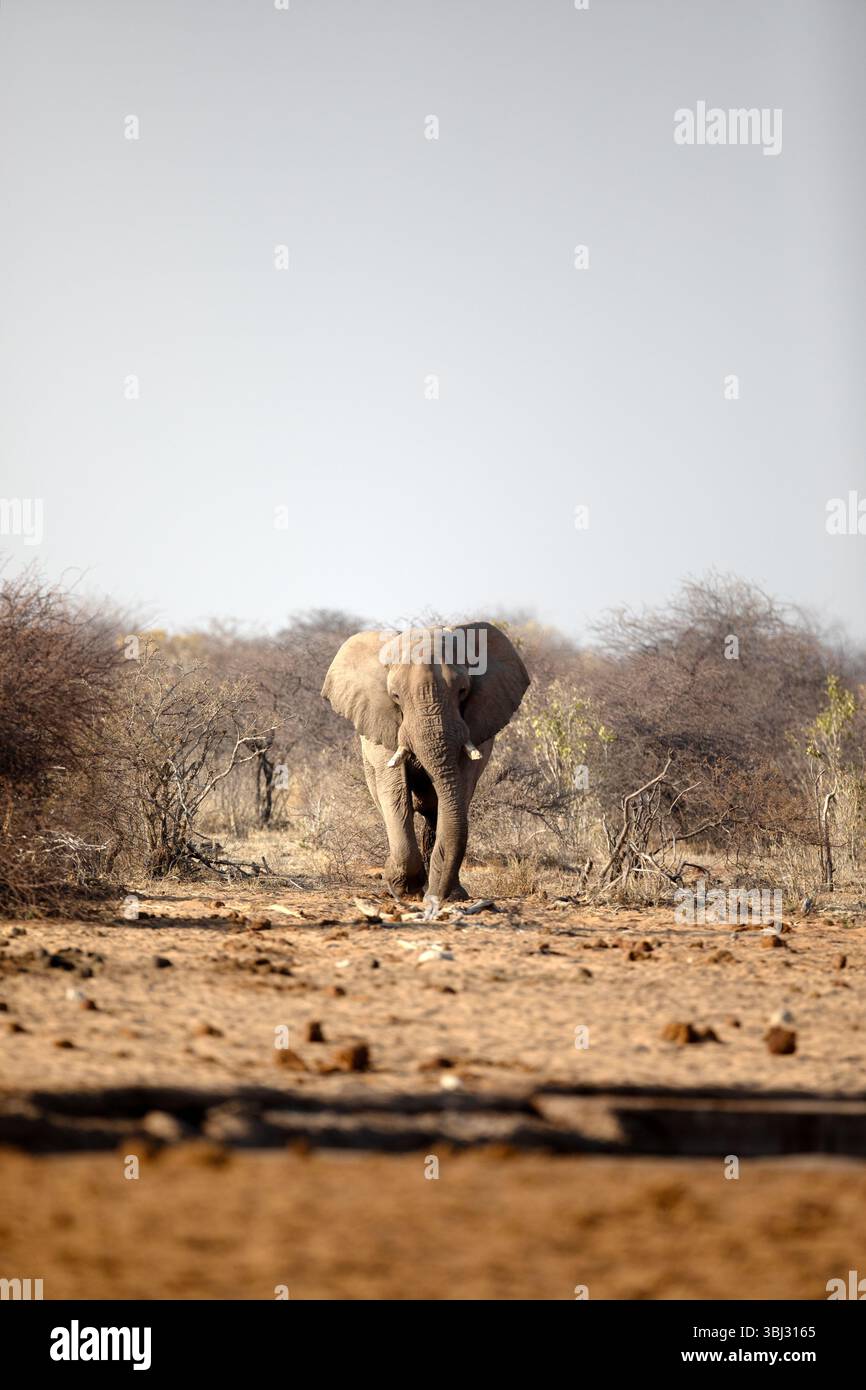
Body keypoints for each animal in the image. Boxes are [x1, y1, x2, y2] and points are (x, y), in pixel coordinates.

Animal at [321, 621, 530, 901]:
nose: (436, 896)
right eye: (395, 696)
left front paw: (437, 892)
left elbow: (459, 788)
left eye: (462, 691)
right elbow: (395, 791)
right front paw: (404, 889)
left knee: (437, 811)